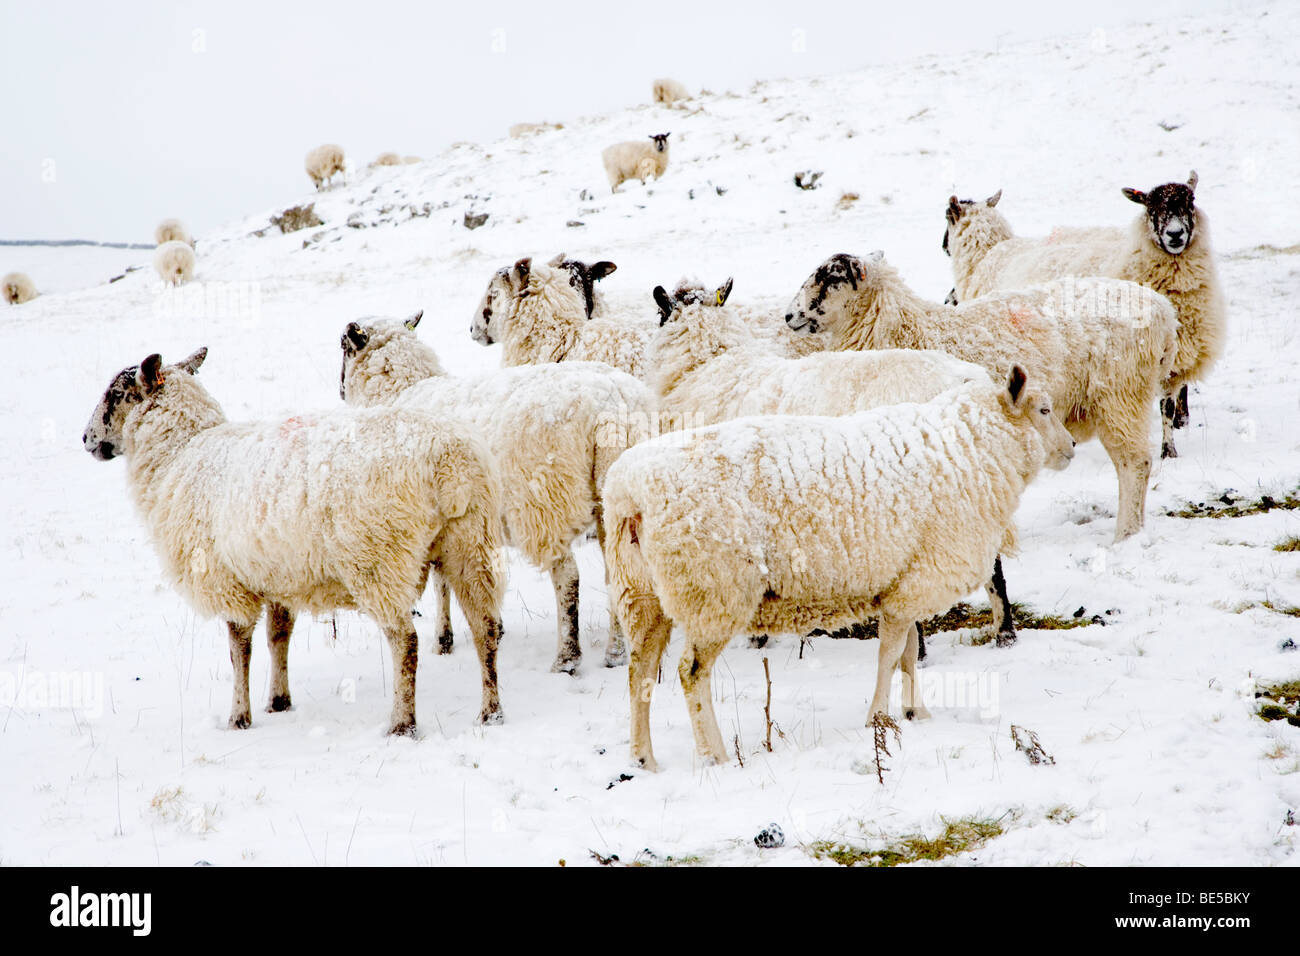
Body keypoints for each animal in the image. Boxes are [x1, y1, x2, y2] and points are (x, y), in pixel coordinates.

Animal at [82, 348, 506, 735]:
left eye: (116, 393)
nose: (86, 438)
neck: (178, 454)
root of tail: (448, 462)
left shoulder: (229, 582)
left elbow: (239, 649)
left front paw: (239, 717)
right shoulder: (278, 576)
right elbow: (278, 639)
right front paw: (279, 700)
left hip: (379, 561)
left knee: (406, 642)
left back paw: (402, 723)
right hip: (471, 542)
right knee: (485, 628)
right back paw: (491, 712)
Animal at [341, 311, 657, 672]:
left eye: (343, 347)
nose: (340, 390)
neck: (401, 392)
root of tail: (613, 404)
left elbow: (441, 583)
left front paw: (443, 640)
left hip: (546, 503)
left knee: (567, 577)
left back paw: (567, 658)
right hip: (613, 501)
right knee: (617, 573)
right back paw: (616, 653)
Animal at [603, 367, 1075, 768]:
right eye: (1043, 409)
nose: (1071, 448)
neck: (973, 449)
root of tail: (630, 493)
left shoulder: (904, 583)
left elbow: (907, 655)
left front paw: (915, 713)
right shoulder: (915, 583)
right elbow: (889, 657)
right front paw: (879, 718)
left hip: (641, 595)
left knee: (638, 671)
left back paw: (642, 759)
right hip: (713, 592)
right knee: (690, 674)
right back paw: (714, 755)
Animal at [651, 278, 1021, 646]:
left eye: (660, 313)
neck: (707, 367)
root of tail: (967, 379)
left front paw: (758, 639)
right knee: (994, 566)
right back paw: (1004, 631)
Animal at [785, 252, 1179, 542]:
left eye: (829, 276)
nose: (789, 315)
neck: (906, 329)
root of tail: (1164, 313)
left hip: (1120, 395)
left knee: (1135, 464)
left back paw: (1125, 534)